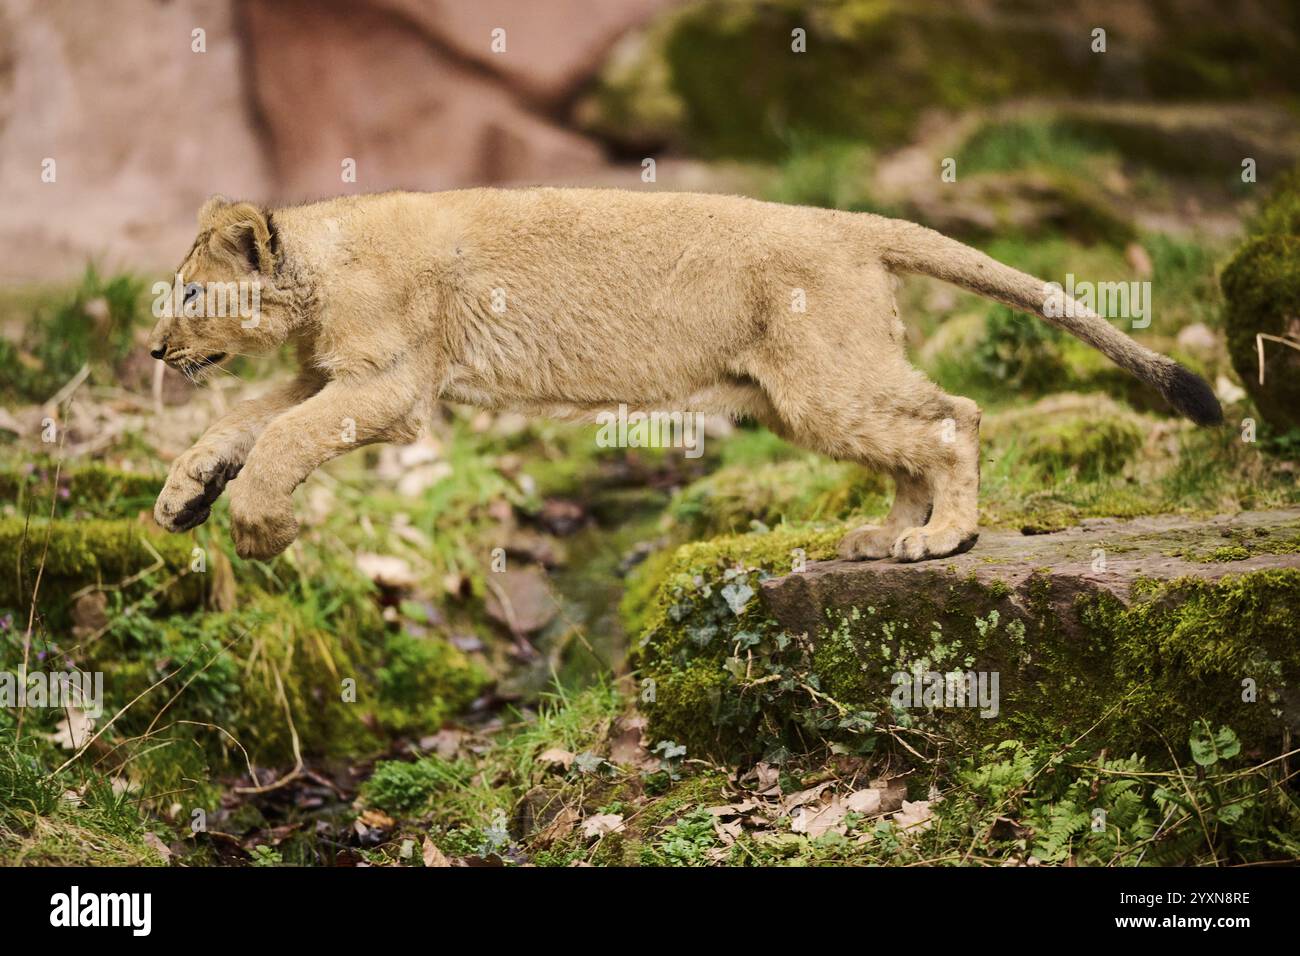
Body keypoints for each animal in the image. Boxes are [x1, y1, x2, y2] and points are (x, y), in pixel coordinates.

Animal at [148, 190, 1221, 561]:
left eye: (191, 294)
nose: (155, 350)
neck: (318, 263)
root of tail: (847, 221)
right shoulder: (333, 373)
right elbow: (246, 419)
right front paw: (182, 495)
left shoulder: (392, 384)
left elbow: (283, 436)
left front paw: (260, 527)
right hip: (806, 396)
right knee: (911, 439)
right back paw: (889, 534)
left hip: (823, 382)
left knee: (955, 415)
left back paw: (942, 538)